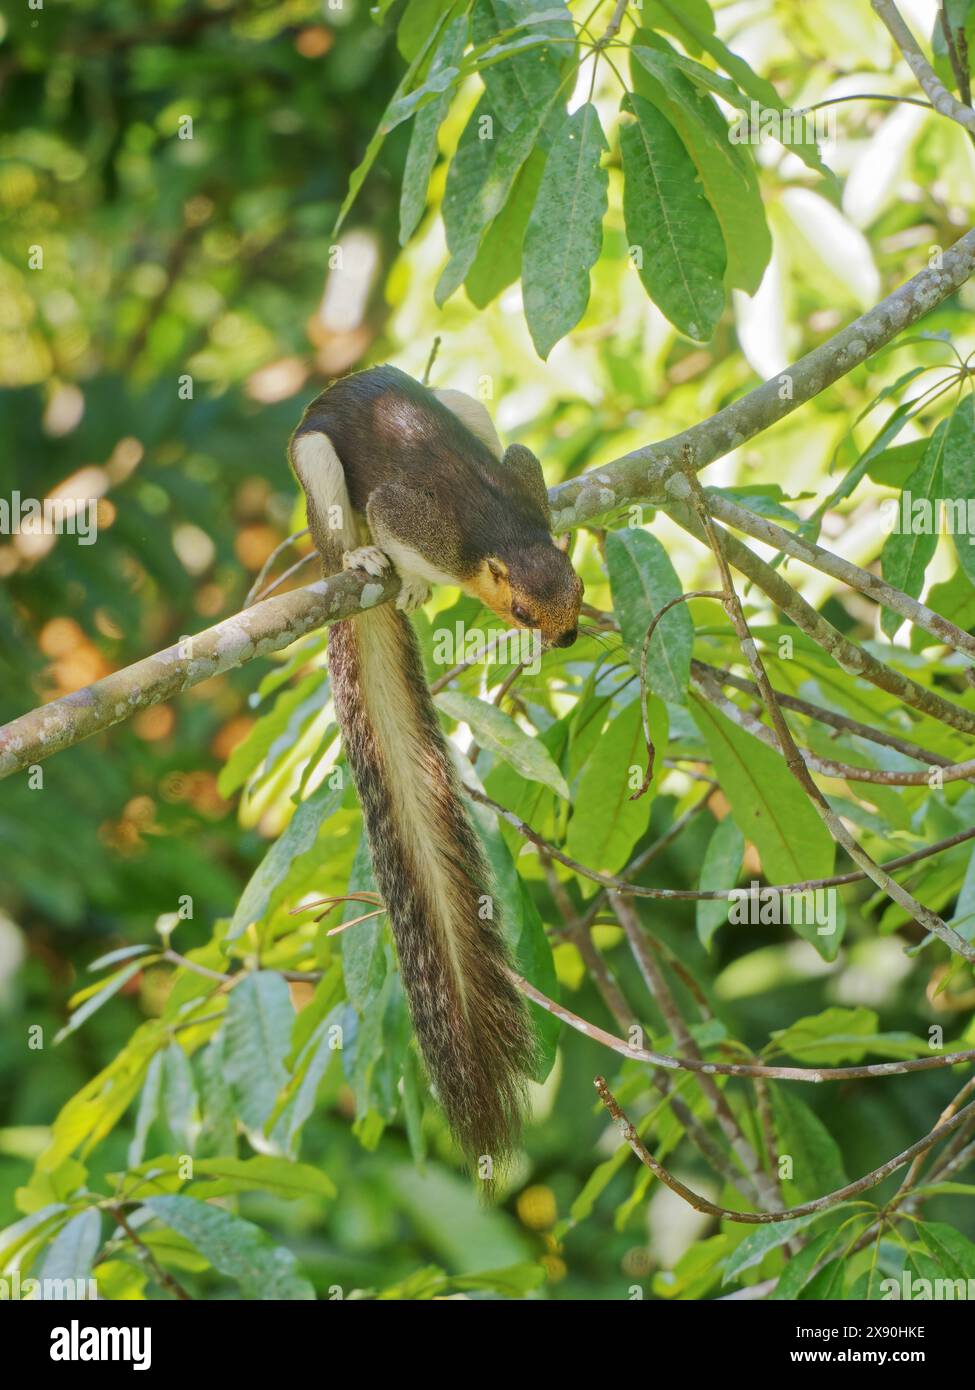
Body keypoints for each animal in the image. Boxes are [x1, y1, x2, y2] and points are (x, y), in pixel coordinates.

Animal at [289, 363, 582, 1172]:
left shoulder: (523, 476)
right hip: (315, 470)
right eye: (522, 612)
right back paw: (355, 560)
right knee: (333, 518)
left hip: (460, 402)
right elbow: (398, 526)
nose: (568, 640)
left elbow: (524, 457)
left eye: (578, 591)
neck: (504, 531)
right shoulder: (421, 523)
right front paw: (412, 579)